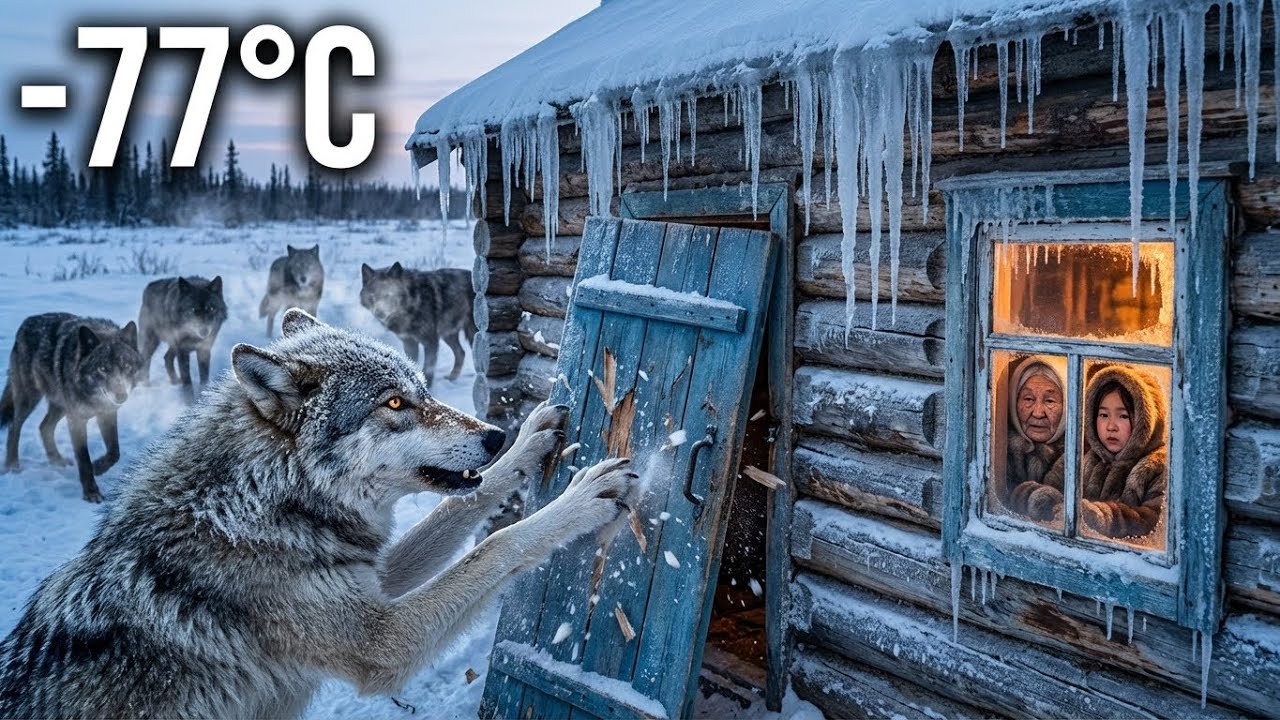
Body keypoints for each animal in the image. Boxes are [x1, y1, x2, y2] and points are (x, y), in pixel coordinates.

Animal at [0, 313, 145, 503]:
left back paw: (56, 459)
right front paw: (91, 491)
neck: (92, 396)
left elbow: (115, 452)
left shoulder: (107, 414)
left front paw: (98, 467)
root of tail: (26, 321)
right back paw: (12, 465)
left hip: (60, 406)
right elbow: (83, 459)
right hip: (29, 398)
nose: (121, 396)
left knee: (44, 427)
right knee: (14, 427)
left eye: (126, 366)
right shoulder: (76, 420)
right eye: (102, 368)